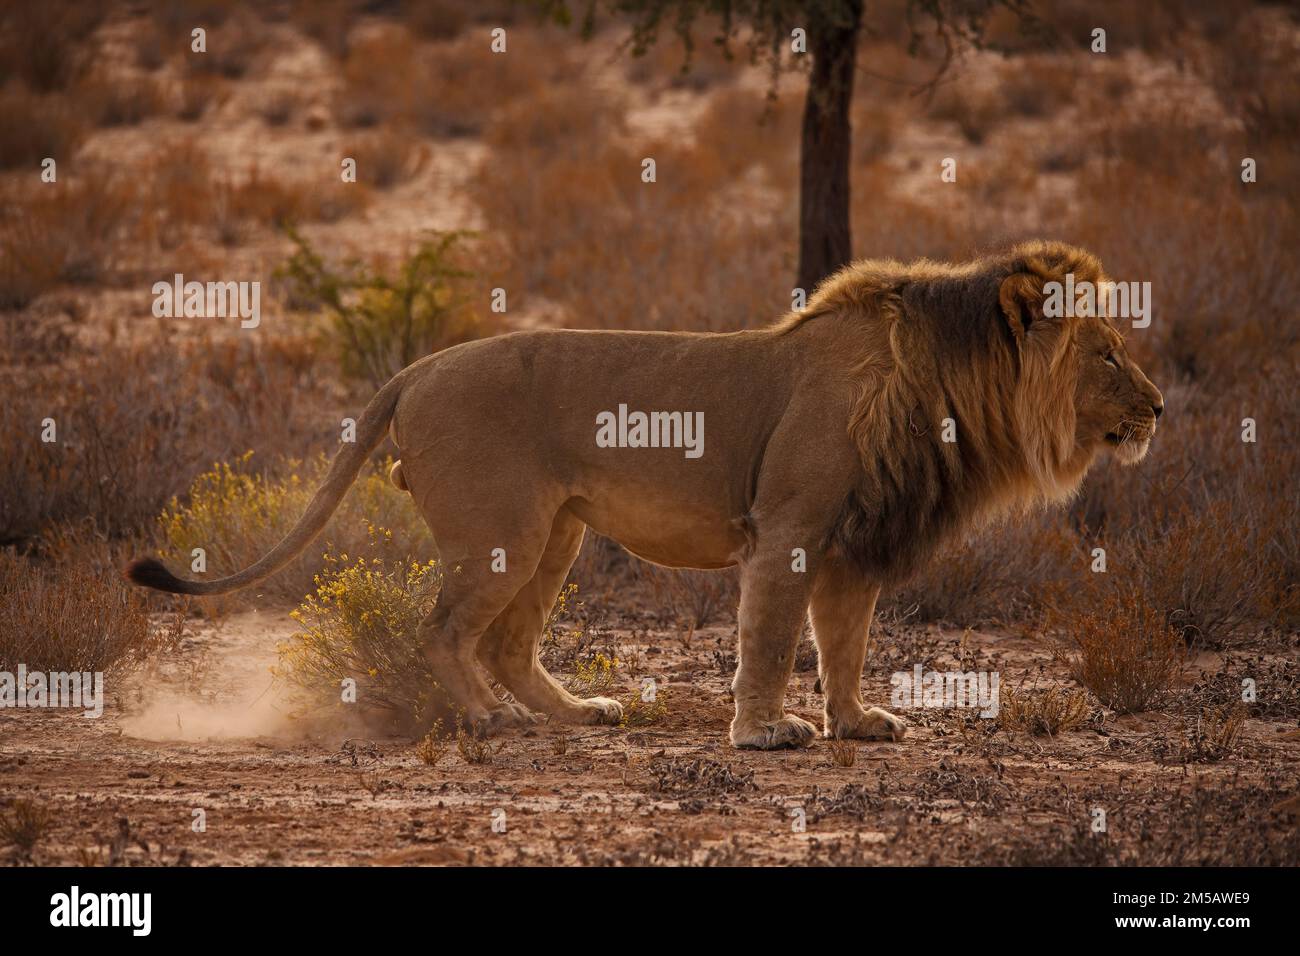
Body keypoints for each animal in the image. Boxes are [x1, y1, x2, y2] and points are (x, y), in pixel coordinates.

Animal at [127, 240, 1163, 750]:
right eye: (1107, 354)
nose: (1159, 406)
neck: (946, 388)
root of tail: (419, 367)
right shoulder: (788, 529)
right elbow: (771, 640)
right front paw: (762, 733)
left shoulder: (854, 545)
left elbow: (847, 645)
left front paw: (858, 724)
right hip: (504, 532)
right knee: (446, 631)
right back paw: (493, 723)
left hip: (558, 534)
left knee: (507, 644)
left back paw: (578, 715)